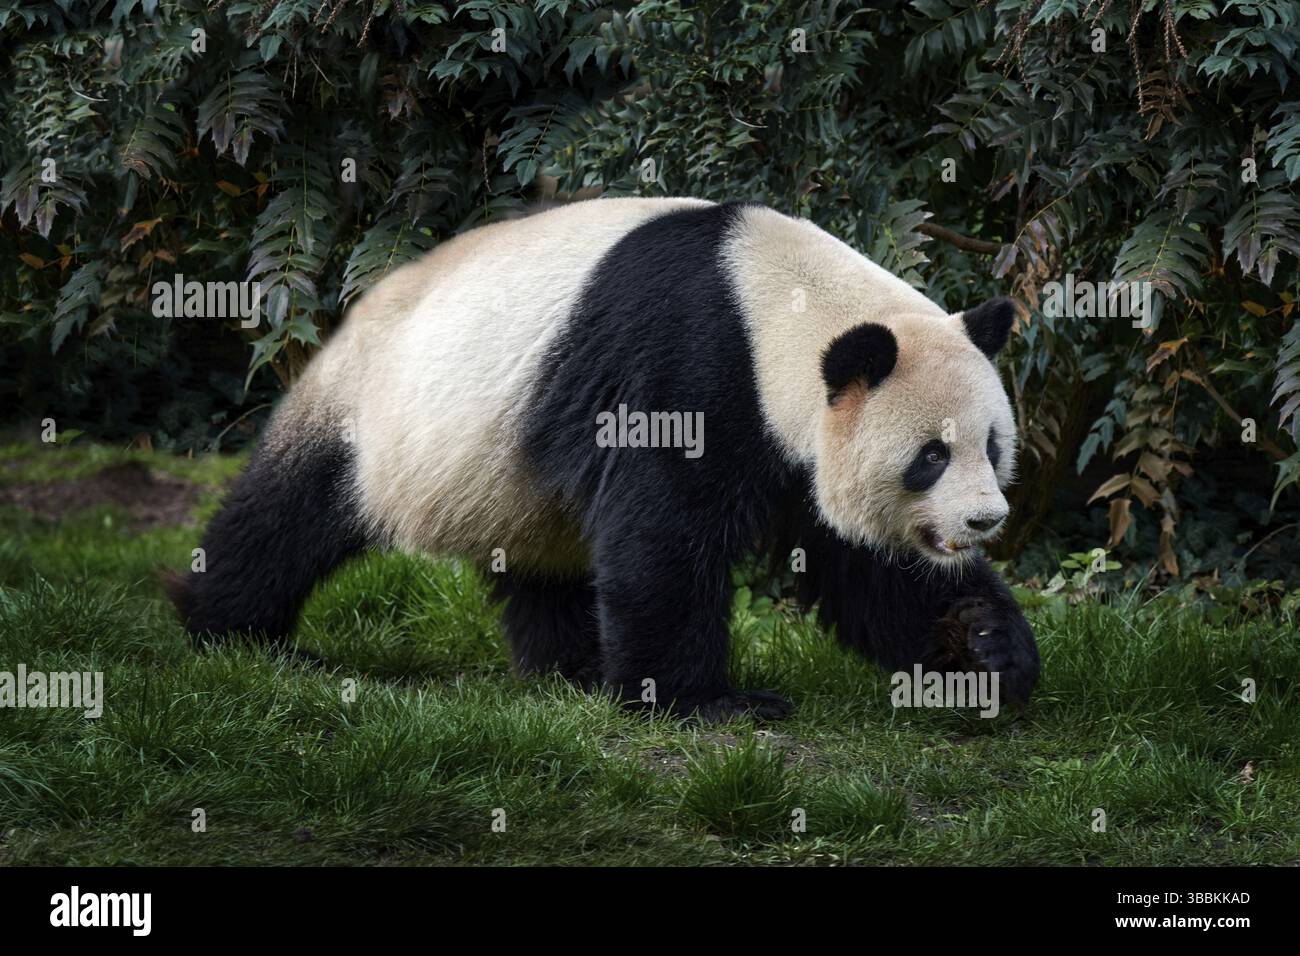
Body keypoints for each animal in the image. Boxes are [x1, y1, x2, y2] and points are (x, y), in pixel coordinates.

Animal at [167, 197, 1040, 720]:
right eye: (930, 455)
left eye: (992, 446)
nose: (983, 519)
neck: (778, 303)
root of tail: (356, 308)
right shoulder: (694, 361)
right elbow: (666, 534)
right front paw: (705, 702)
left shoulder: (796, 437)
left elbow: (866, 566)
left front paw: (983, 649)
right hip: (381, 415)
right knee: (290, 513)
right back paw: (231, 630)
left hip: (502, 478)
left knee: (542, 564)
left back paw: (572, 669)